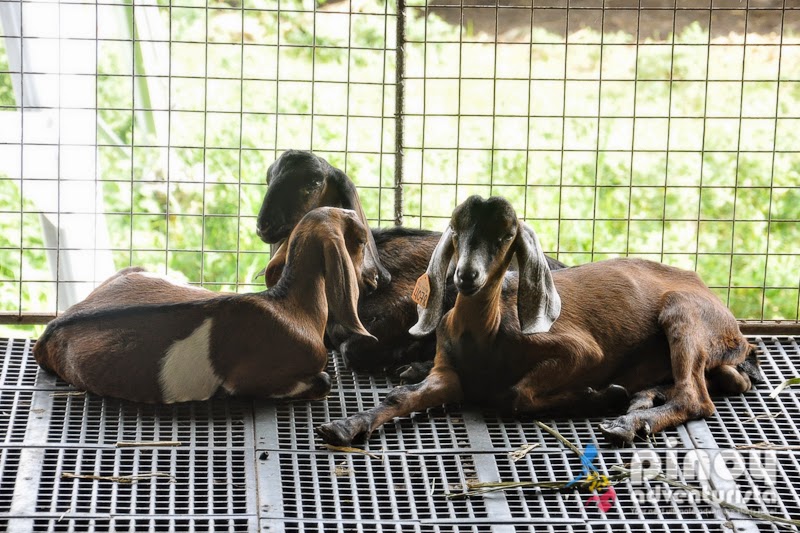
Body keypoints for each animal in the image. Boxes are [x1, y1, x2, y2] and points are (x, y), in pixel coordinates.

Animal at [34, 207, 375, 404]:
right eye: (360, 238)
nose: (372, 279)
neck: (290, 306)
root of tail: (50, 330)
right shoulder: (250, 380)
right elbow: (323, 380)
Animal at [256, 150, 568, 374]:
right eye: (269, 176)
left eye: (313, 183)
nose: (263, 225)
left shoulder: (404, 305)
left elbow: (354, 346)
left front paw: (404, 352)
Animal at [316, 195, 760, 446]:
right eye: (456, 230)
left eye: (506, 235)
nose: (466, 275)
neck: (487, 336)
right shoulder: (449, 373)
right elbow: (398, 398)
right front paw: (346, 426)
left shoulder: (578, 349)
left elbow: (516, 394)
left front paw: (599, 394)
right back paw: (642, 400)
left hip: (684, 313)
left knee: (695, 397)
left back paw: (628, 421)